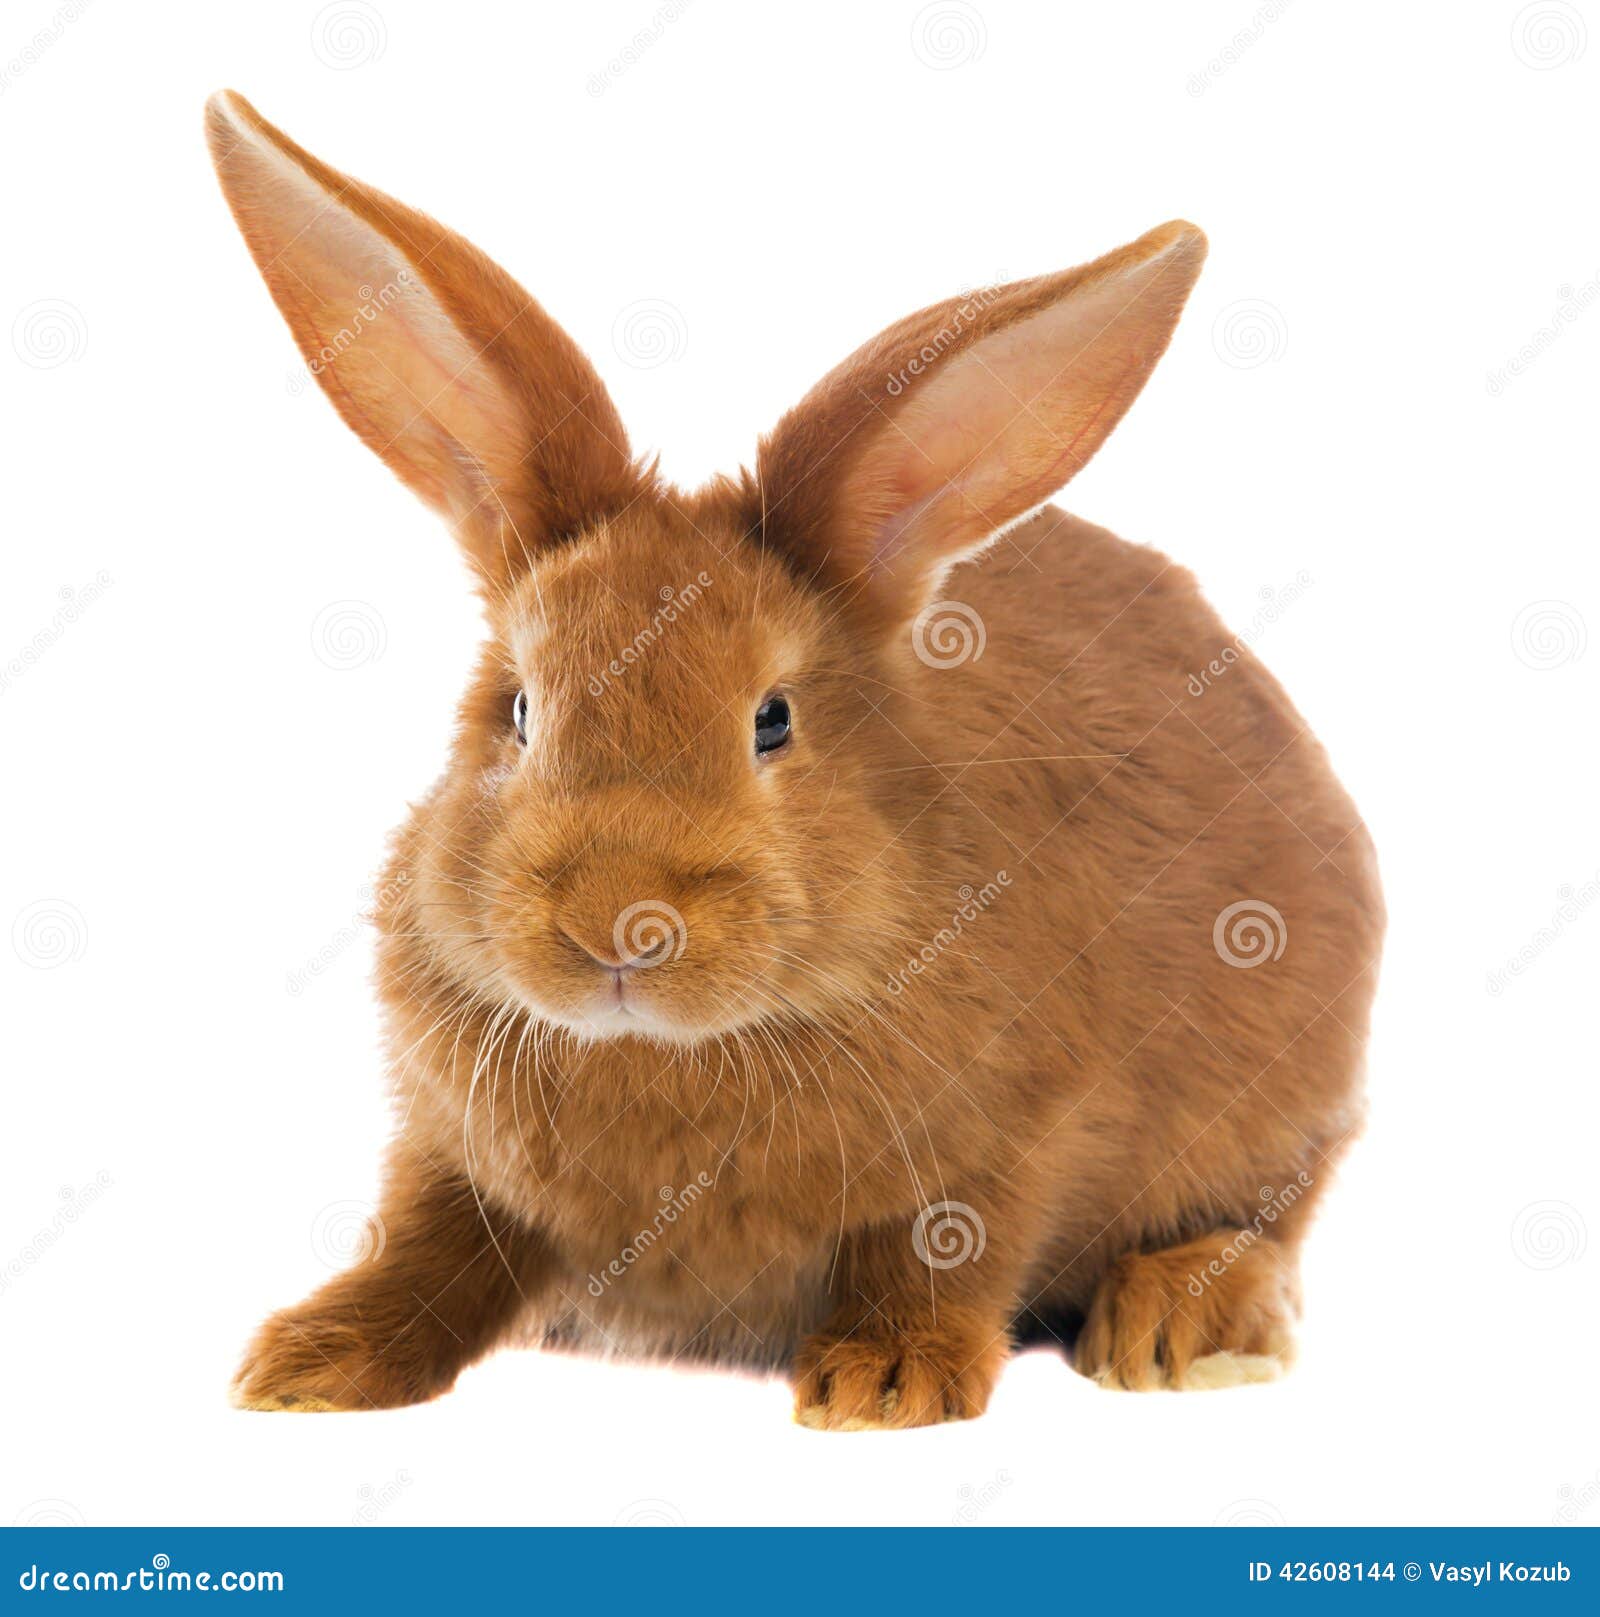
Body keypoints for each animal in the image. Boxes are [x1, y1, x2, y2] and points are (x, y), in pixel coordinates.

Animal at [208, 90, 1383, 1428]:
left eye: (773, 719)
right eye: (518, 710)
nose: (621, 923)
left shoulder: (1017, 1140)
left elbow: (945, 1250)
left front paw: (885, 1382)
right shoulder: (447, 1150)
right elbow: (426, 1245)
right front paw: (310, 1364)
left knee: (1271, 1218)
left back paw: (1178, 1327)